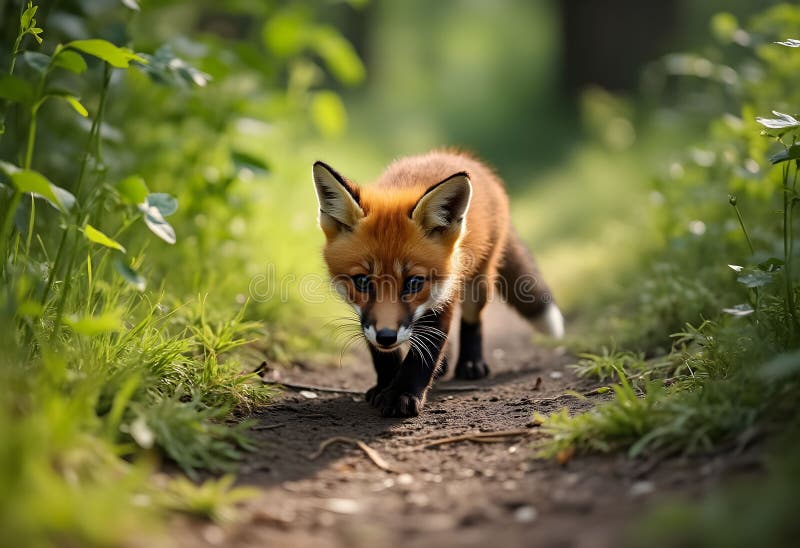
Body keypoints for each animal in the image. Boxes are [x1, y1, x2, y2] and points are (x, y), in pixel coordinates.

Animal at [312, 150, 564, 418]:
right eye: (361, 281)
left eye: (414, 282)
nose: (387, 337)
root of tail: (454, 155)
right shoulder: (366, 315)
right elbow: (384, 354)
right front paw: (385, 384)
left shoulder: (445, 294)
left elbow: (425, 352)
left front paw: (402, 394)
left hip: (478, 282)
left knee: (472, 321)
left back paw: (471, 363)